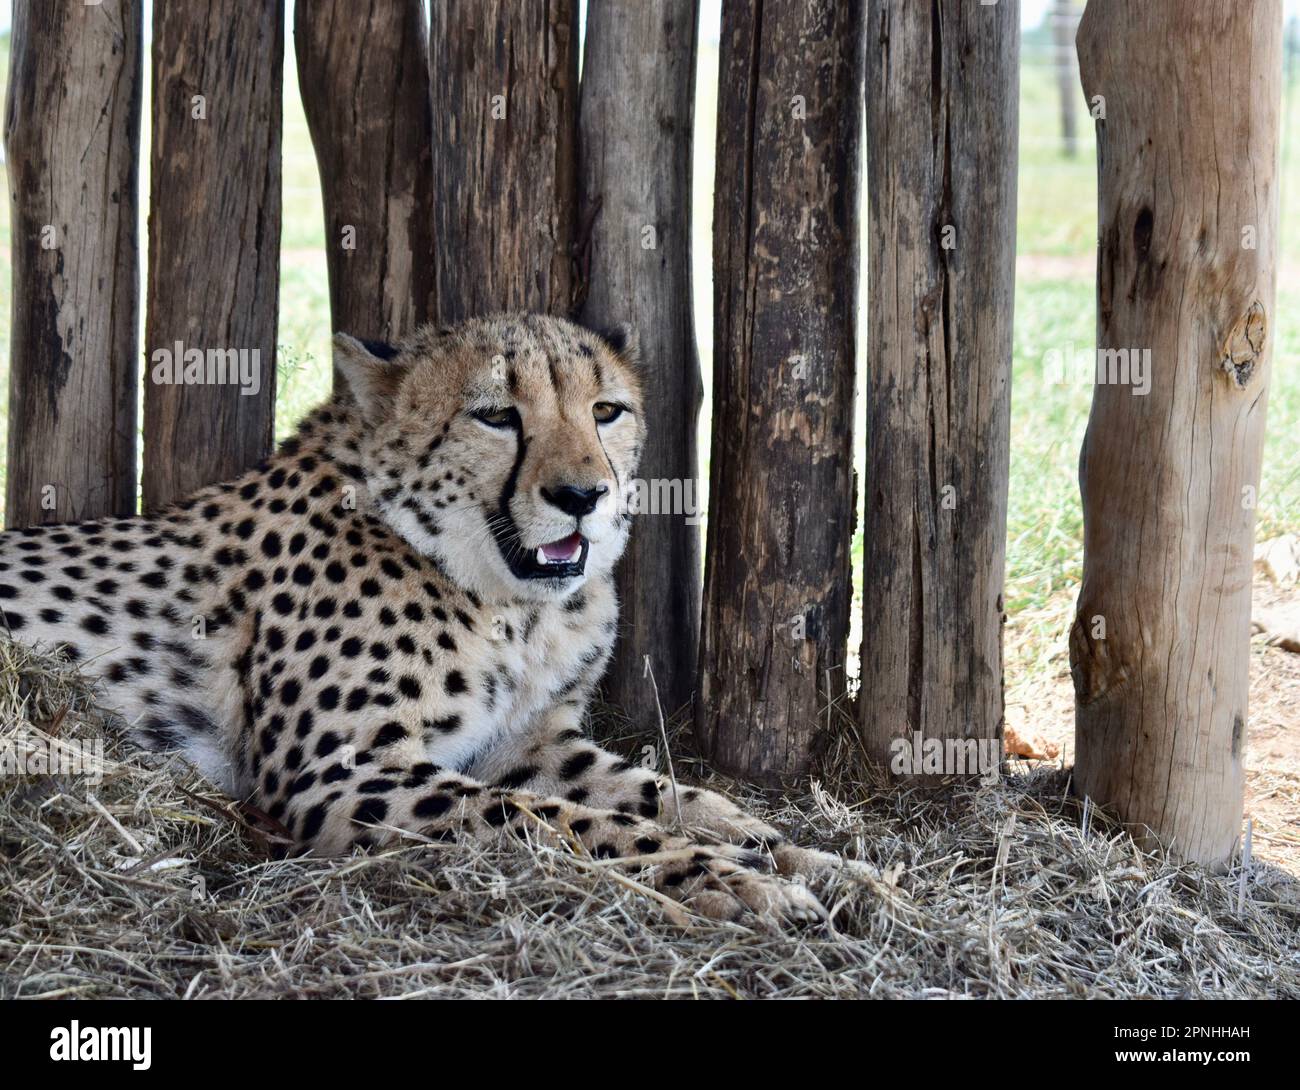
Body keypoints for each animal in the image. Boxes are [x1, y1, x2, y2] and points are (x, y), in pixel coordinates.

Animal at [0, 313, 864, 924]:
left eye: (607, 410)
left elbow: (666, 795)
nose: (583, 495)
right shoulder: (341, 774)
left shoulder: (525, 740)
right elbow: (560, 820)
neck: (514, 609)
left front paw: (813, 860)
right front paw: (729, 881)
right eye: (497, 417)